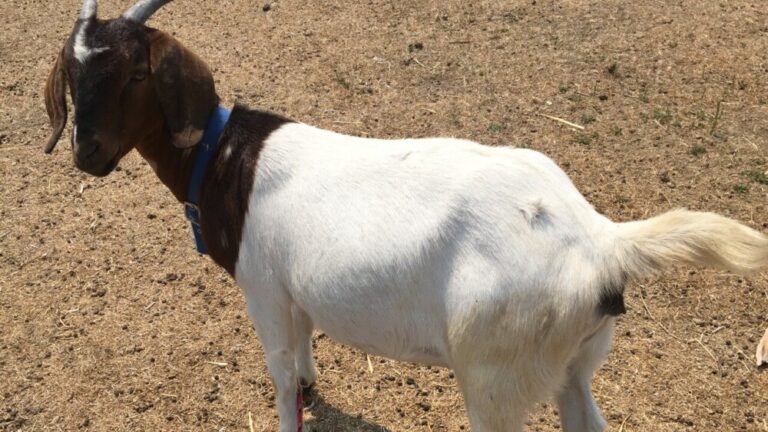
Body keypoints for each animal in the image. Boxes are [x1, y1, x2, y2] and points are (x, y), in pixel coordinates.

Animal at [44, 1, 768, 431]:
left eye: (136, 74)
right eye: (73, 75)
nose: (87, 154)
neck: (227, 159)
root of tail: (598, 240)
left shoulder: (264, 291)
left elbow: (279, 375)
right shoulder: (297, 295)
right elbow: (303, 355)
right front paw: (312, 385)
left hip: (495, 374)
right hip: (573, 364)